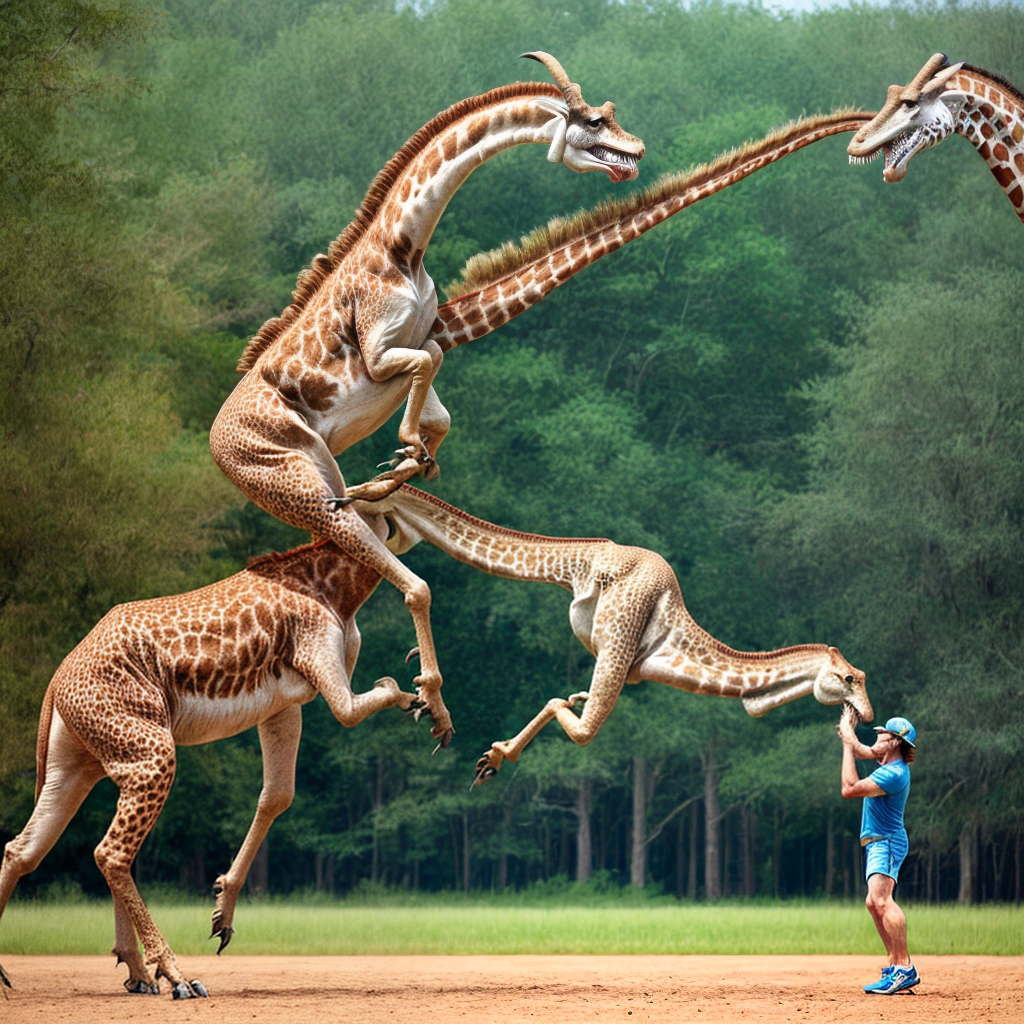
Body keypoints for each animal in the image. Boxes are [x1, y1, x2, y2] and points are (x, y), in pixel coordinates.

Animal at [0, 525, 425, 999]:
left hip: (77, 762)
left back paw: (134, 974)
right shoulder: (317, 655)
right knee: (109, 851)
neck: (336, 587)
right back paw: (176, 977)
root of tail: (56, 681)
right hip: (149, 751)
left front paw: (223, 911)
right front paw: (420, 696)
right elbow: (359, 705)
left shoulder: (282, 703)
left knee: (25, 849)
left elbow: (278, 794)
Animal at [208, 53, 643, 747]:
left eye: (612, 113)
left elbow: (438, 402)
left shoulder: (414, 347)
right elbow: (427, 370)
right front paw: (407, 455)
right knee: (410, 585)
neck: (402, 249)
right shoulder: (381, 351)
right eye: (596, 121)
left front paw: (405, 465)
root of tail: (215, 445)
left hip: (320, 484)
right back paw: (429, 702)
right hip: (297, 487)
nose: (637, 150)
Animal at [354, 486, 873, 783]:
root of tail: (597, 551)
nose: (868, 715)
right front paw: (506, 746)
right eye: (850, 678)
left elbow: (572, 709)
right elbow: (578, 723)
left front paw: (493, 758)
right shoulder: (615, 653)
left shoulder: (629, 670)